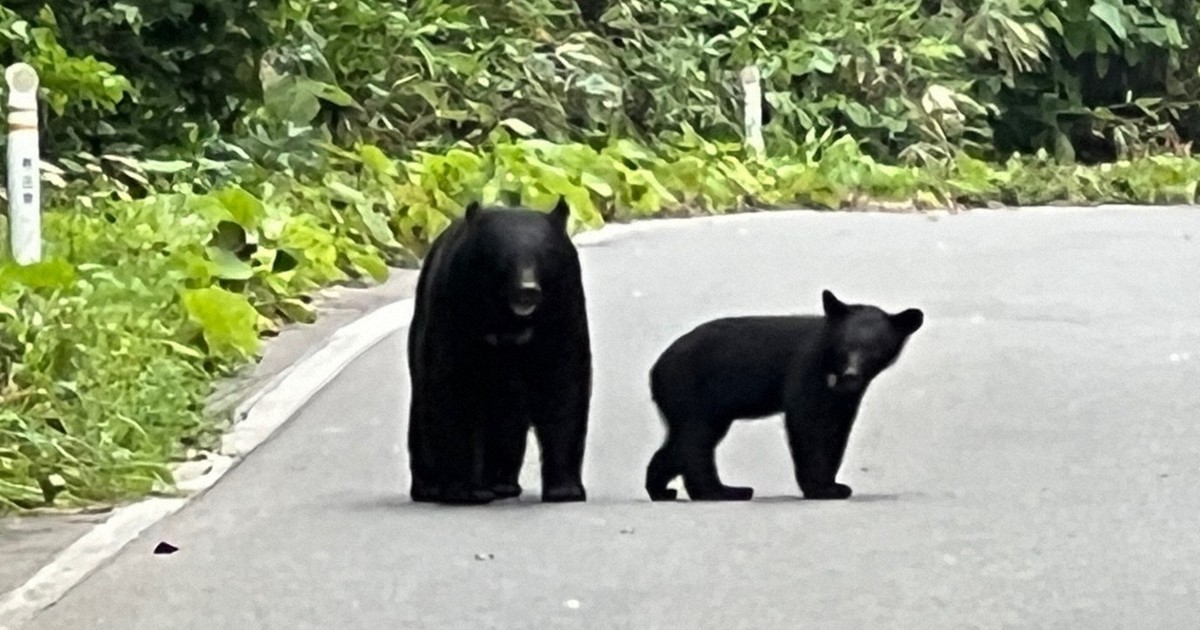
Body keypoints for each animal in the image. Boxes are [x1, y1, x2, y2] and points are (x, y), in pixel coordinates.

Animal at [407, 197, 592, 505]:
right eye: (503, 258)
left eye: (544, 254)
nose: (527, 290)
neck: (508, 321)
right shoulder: (453, 309)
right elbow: (454, 388)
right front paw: (464, 490)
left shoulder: (563, 311)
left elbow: (564, 386)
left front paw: (565, 490)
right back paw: (432, 487)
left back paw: (502, 484)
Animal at [644, 290, 923, 502]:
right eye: (846, 345)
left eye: (874, 349)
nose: (852, 374)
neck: (830, 364)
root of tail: (656, 367)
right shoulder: (806, 372)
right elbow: (809, 425)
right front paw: (822, 488)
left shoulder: (844, 397)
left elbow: (837, 430)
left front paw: (833, 484)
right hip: (692, 391)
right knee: (695, 440)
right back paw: (721, 492)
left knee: (682, 442)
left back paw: (663, 490)